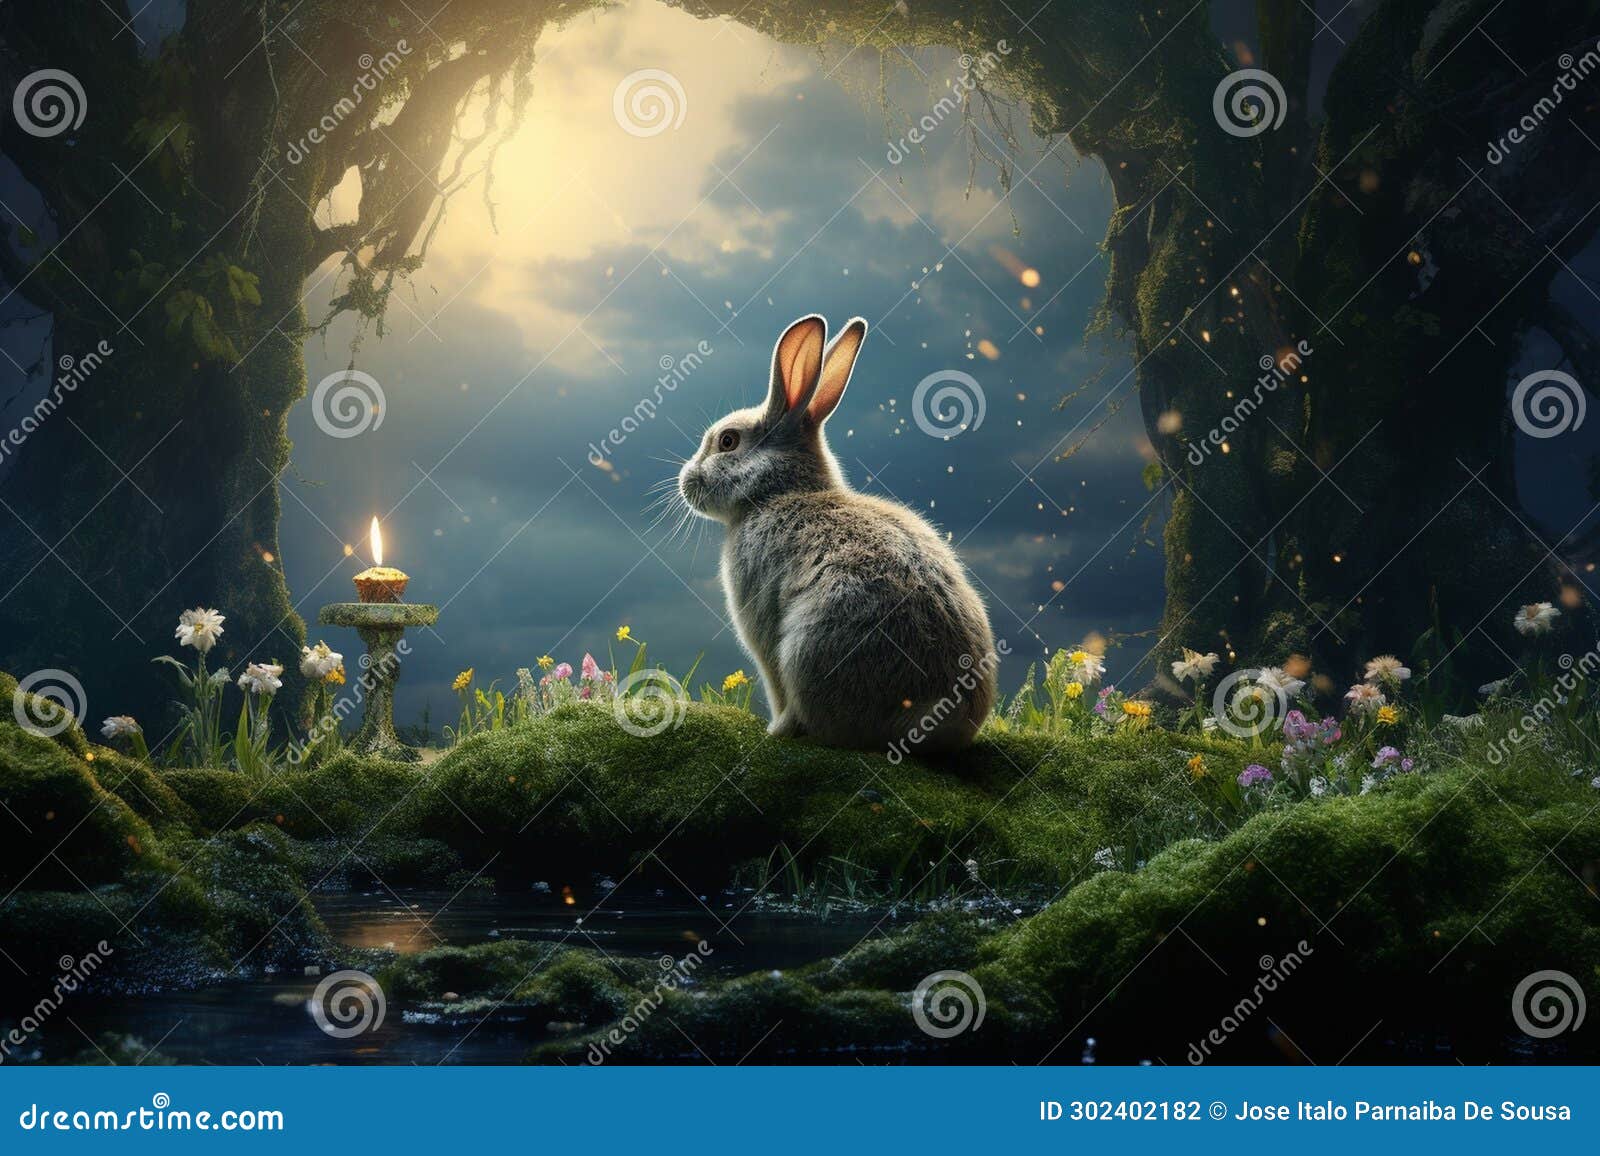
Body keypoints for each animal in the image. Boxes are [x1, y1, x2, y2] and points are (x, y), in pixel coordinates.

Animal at [678, 313, 997, 755]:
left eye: (728, 441)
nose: (685, 481)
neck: (779, 491)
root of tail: (930, 721)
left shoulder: (761, 624)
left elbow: (772, 679)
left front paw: (773, 729)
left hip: (806, 649)